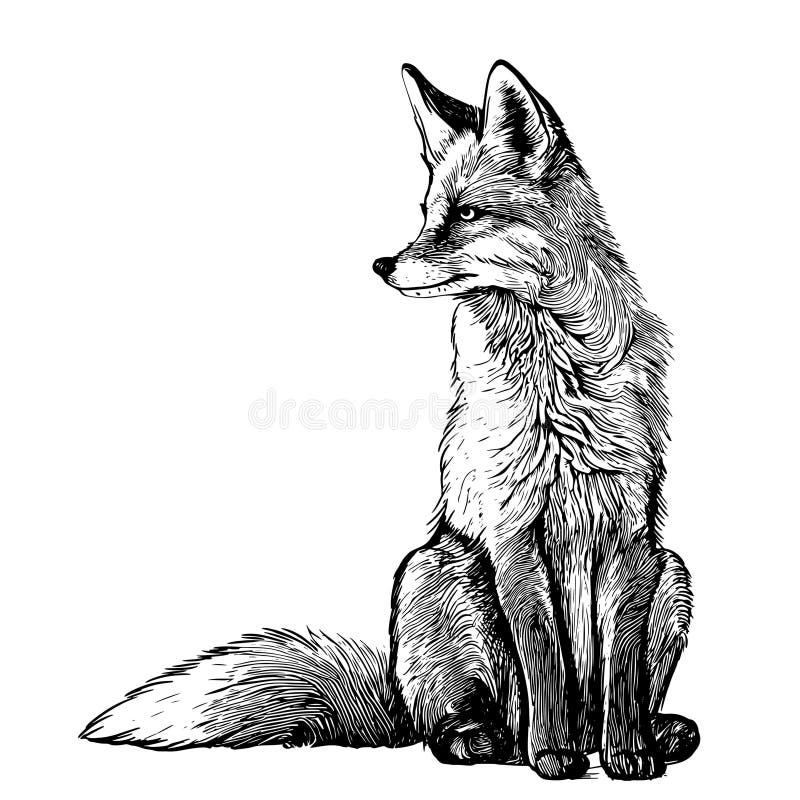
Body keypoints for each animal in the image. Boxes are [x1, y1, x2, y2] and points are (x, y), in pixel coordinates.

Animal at [81, 61, 699, 781]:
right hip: (435, 572)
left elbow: (621, 672)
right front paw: (555, 756)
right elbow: (545, 664)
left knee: (605, 698)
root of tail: (393, 705)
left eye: (466, 213)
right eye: (426, 214)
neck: (559, 377)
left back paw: (654, 734)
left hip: (674, 573)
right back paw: (497, 741)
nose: (382, 264)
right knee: (458, 726)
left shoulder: (630, 537)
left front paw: (627, 754)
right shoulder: (514, 538)